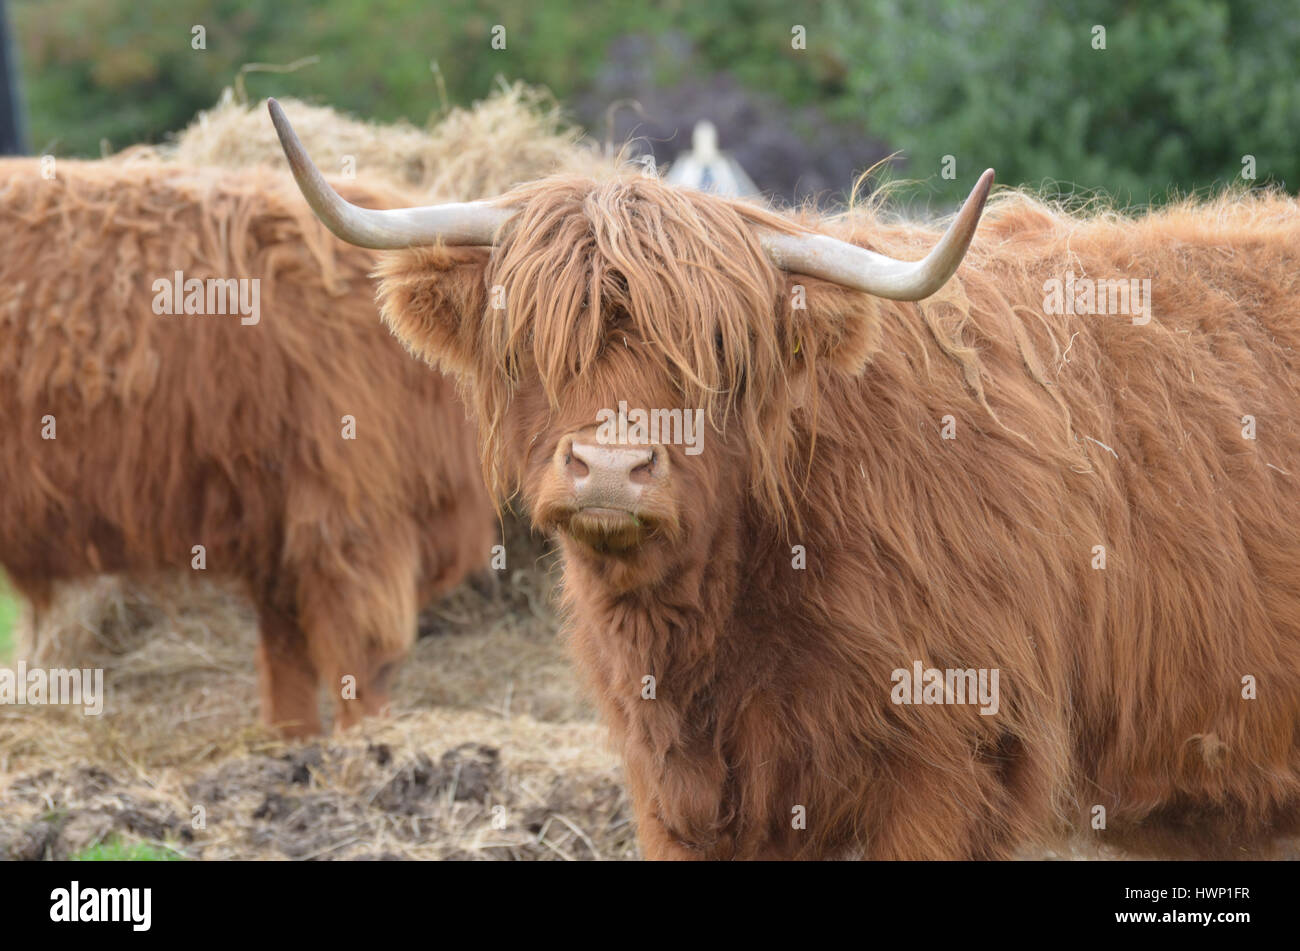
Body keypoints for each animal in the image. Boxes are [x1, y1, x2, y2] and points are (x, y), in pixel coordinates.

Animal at [0, 156, 495, 736]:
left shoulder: (282, 532)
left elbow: (287, 665)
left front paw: (292, 743)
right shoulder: (358, 518)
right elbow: (365, 663)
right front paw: (366, 747)